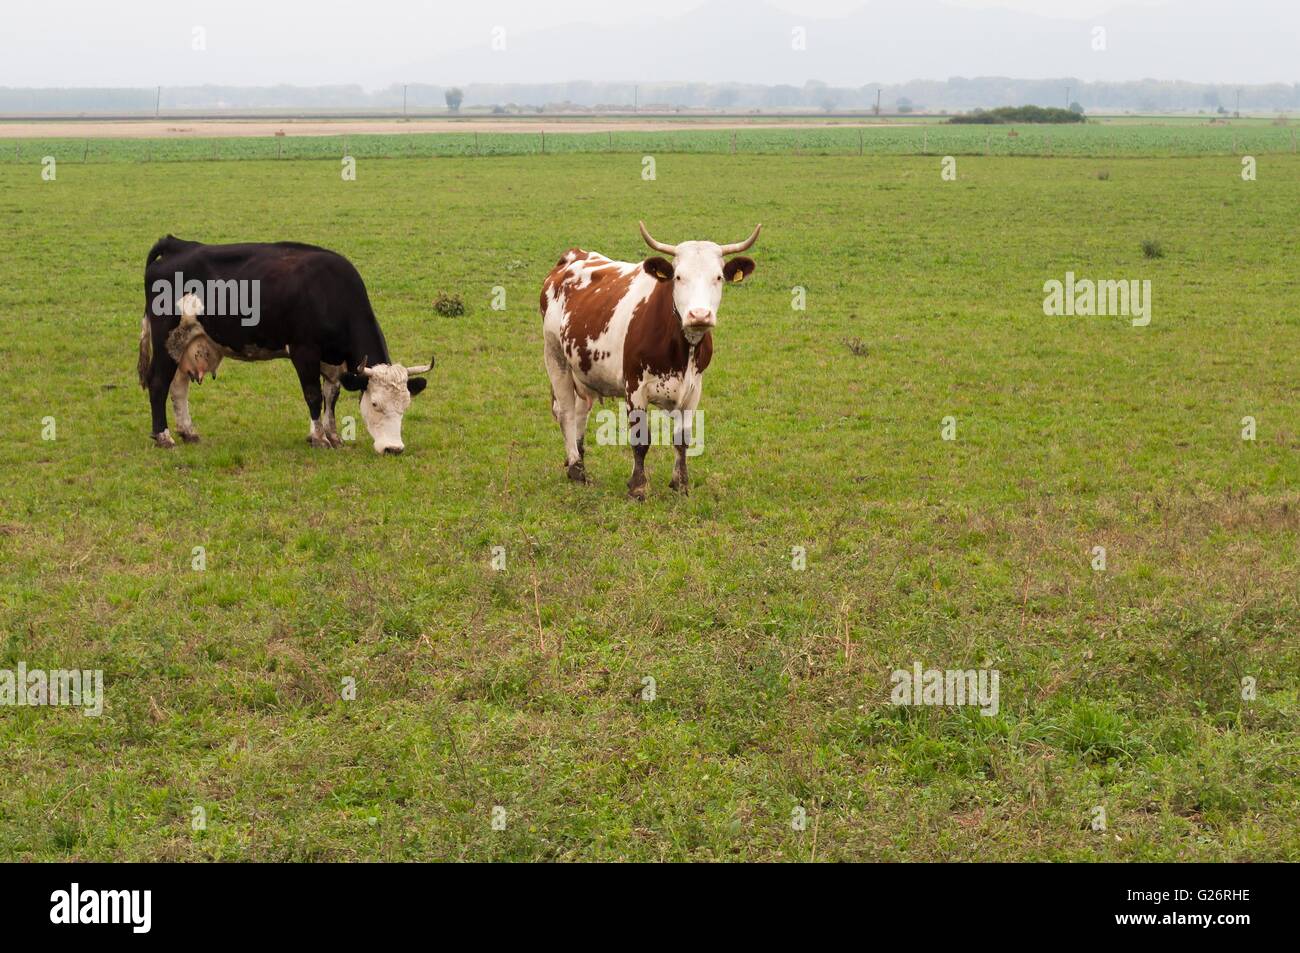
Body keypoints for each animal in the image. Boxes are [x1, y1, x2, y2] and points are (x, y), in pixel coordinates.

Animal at [138, 236, 433, 455]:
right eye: (374, 404)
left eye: (405, 405)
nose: (394, 449)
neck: (330, 293)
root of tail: (177, 244)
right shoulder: (304, 352)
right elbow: (313, 395)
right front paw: (319, 438)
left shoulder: (334, 362)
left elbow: (331, 397)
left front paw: (333, 436)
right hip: (167, 340)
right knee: (158, 383)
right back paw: (163, 436)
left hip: (186, 342)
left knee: (178, 387)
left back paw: (188, 431)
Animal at [540, 221, 760, 500]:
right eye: (678, 277)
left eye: (718, 277)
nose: (699, 315)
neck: (682, 349)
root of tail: (573, 256)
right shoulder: (634, 386)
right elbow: (640, 439)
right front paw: (638, 487)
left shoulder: (694, 388)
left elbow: (682, 438)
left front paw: (681, 484)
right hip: (555, 356)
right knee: (566, 411)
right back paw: (576, 468)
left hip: (582, 368)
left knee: (581, 411)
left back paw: (578, 463)